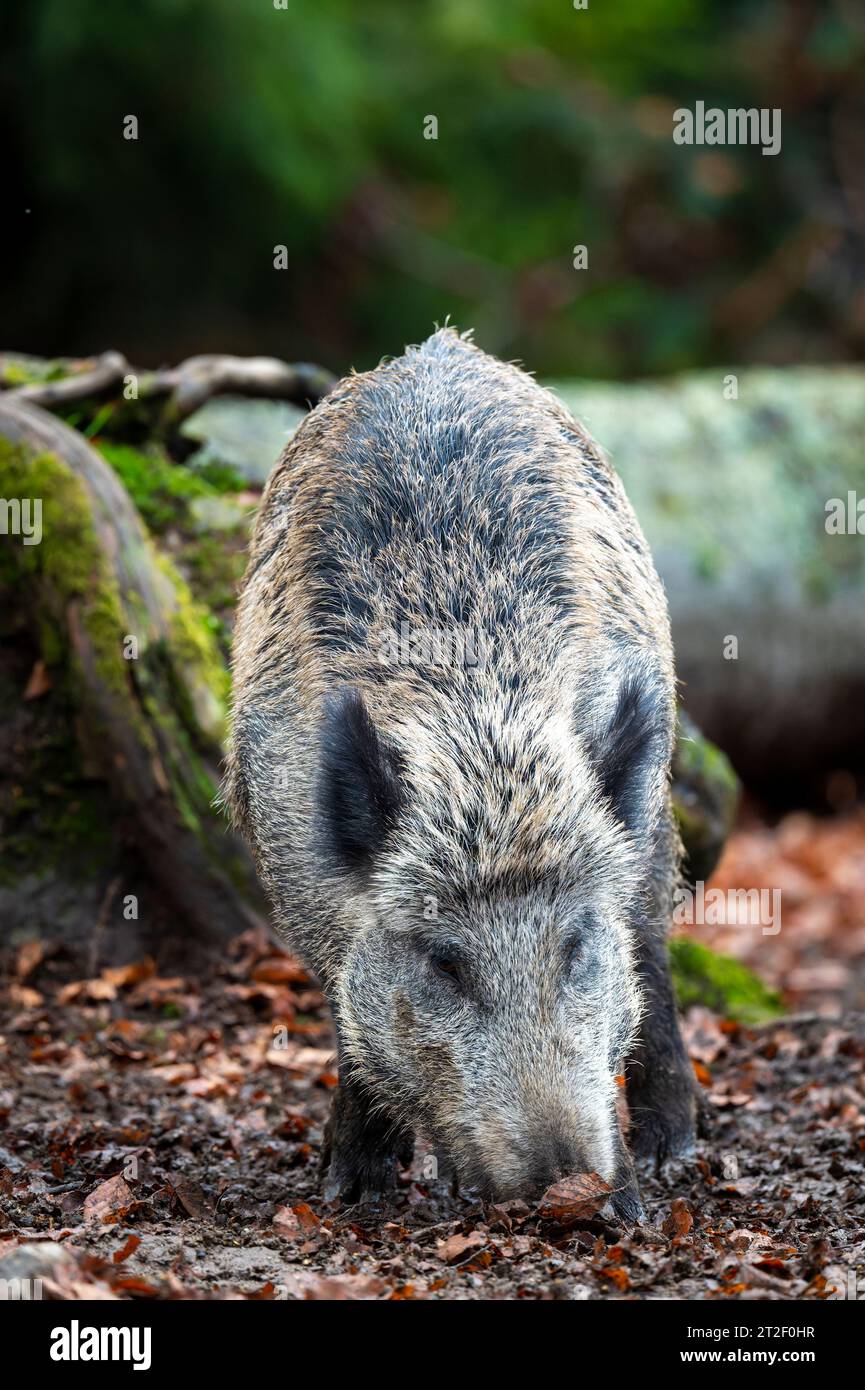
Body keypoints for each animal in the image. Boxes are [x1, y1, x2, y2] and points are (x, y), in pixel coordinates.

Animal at [225, 328, 697, 1219]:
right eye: (444, 961)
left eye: (573, 944)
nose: (570, 1185)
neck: (482, 746)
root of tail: (445, 343)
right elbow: (351, 1018)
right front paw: (351, 1192)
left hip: (649, 813)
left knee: (653, 954)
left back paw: (675, 1157)